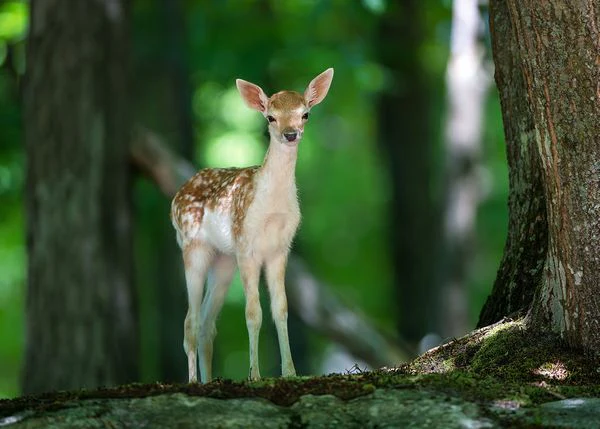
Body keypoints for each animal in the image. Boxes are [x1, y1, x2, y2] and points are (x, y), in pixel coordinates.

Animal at [171, 68, 336, 382]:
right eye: (270, 116)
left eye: (305, 114)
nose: (290, 134)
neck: (271, 209)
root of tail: (176, 196)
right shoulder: (246, 245)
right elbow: (253, 312)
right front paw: (255, 375)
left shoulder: (280, 249)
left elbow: (281, 309)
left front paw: (290, 372)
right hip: (193, 246)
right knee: (189, 321)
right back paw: (193, 381)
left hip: (224, 259)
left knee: (207, 323)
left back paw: (208, 380)